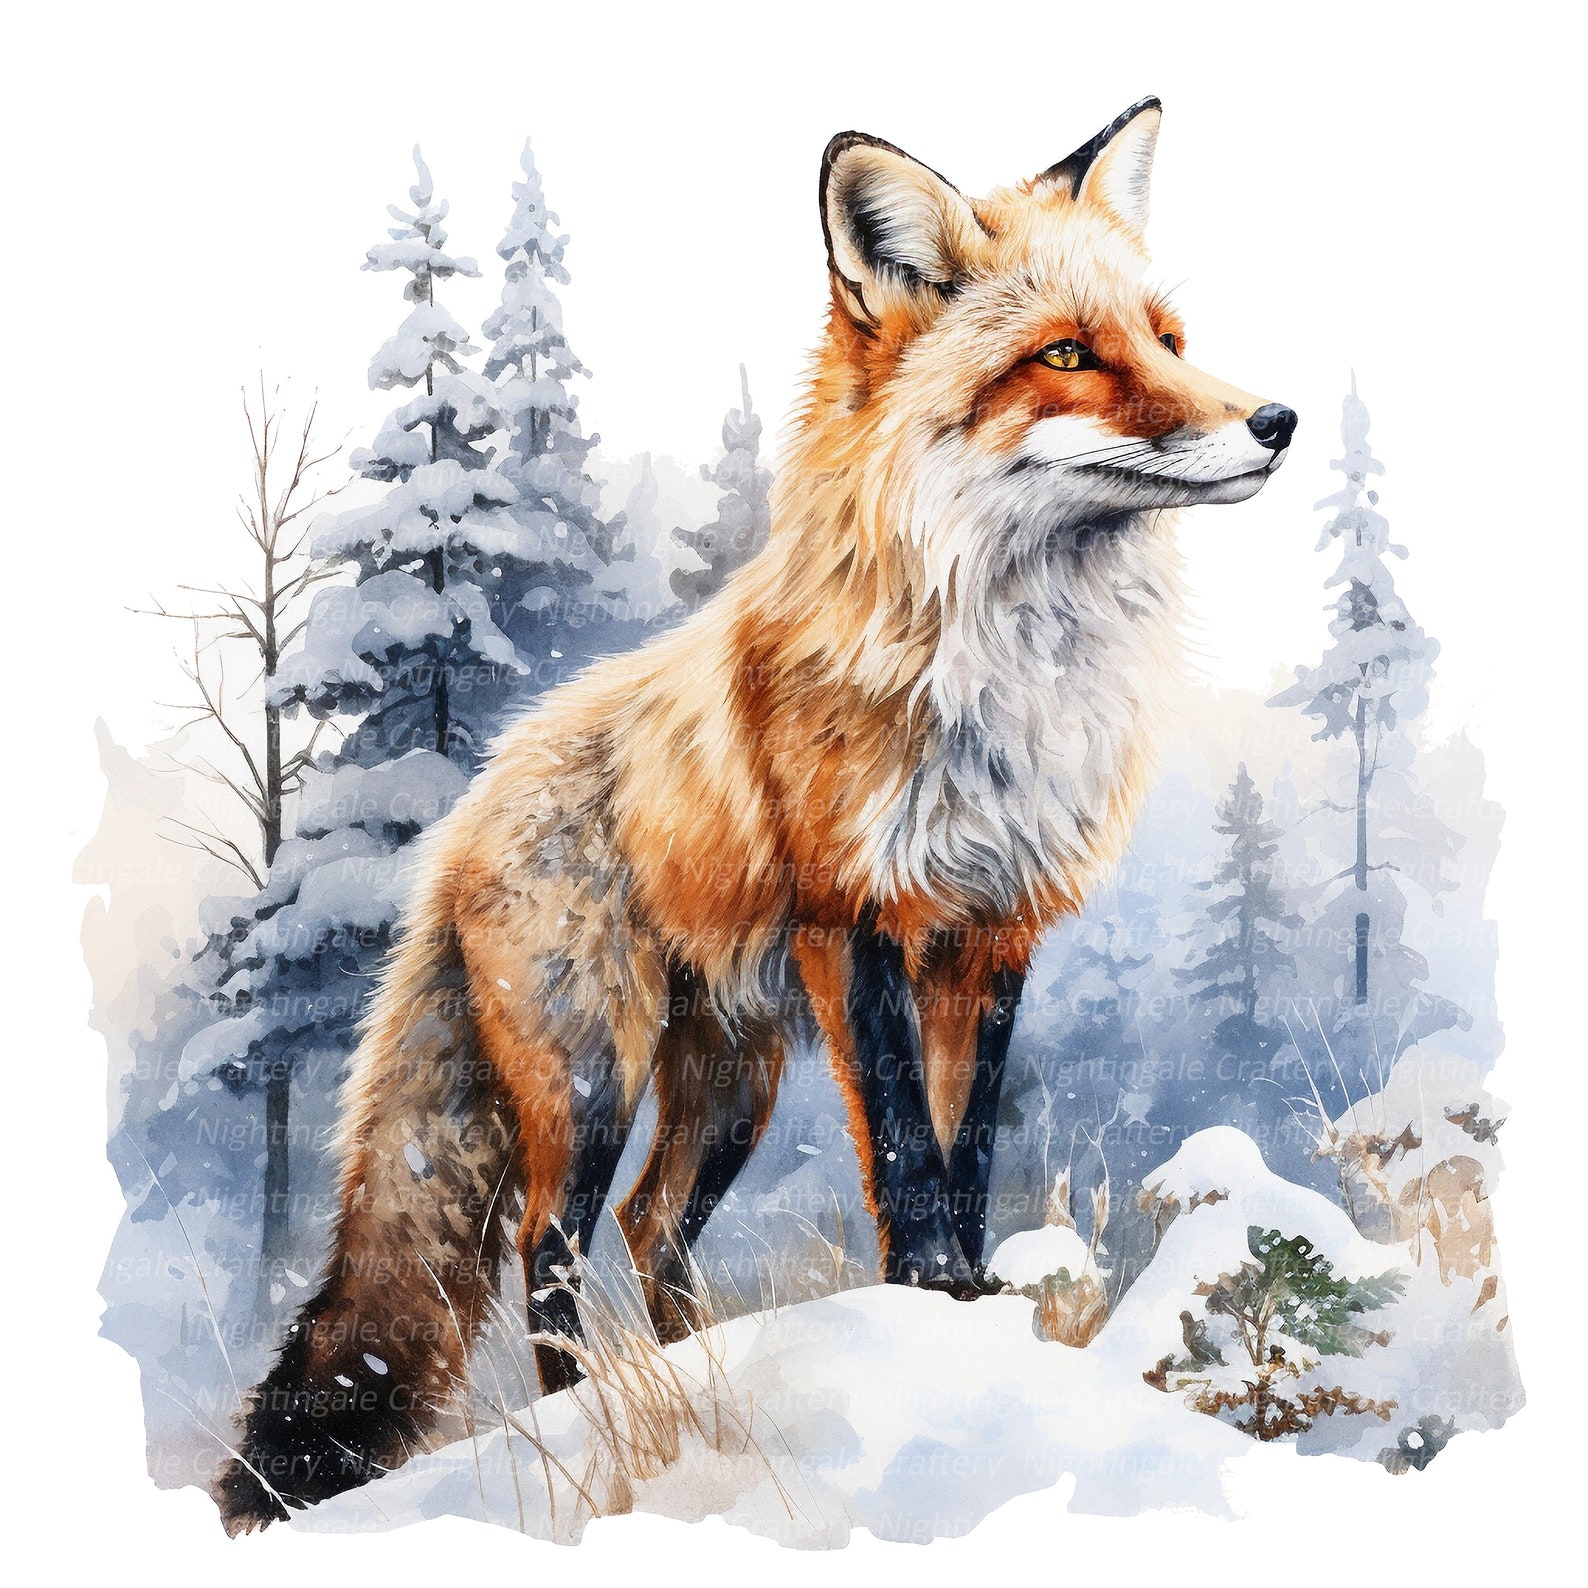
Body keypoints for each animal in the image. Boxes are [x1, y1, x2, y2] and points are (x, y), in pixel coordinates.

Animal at [214, 97, 1295, 1533]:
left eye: (1169, 340)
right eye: (1067, 355)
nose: (1278, 419)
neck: (1003, 682)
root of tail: (466, 809)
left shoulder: (994, 934)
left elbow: (966, 1148)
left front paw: (969, 1311)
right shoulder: (860, 922)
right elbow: (908, 1160)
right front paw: (932, 1307)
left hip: (732, 1078)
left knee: (650, 1230)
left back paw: (697, 1374)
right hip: (593, 1073)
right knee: (549, 1246)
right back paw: (586, 1420)